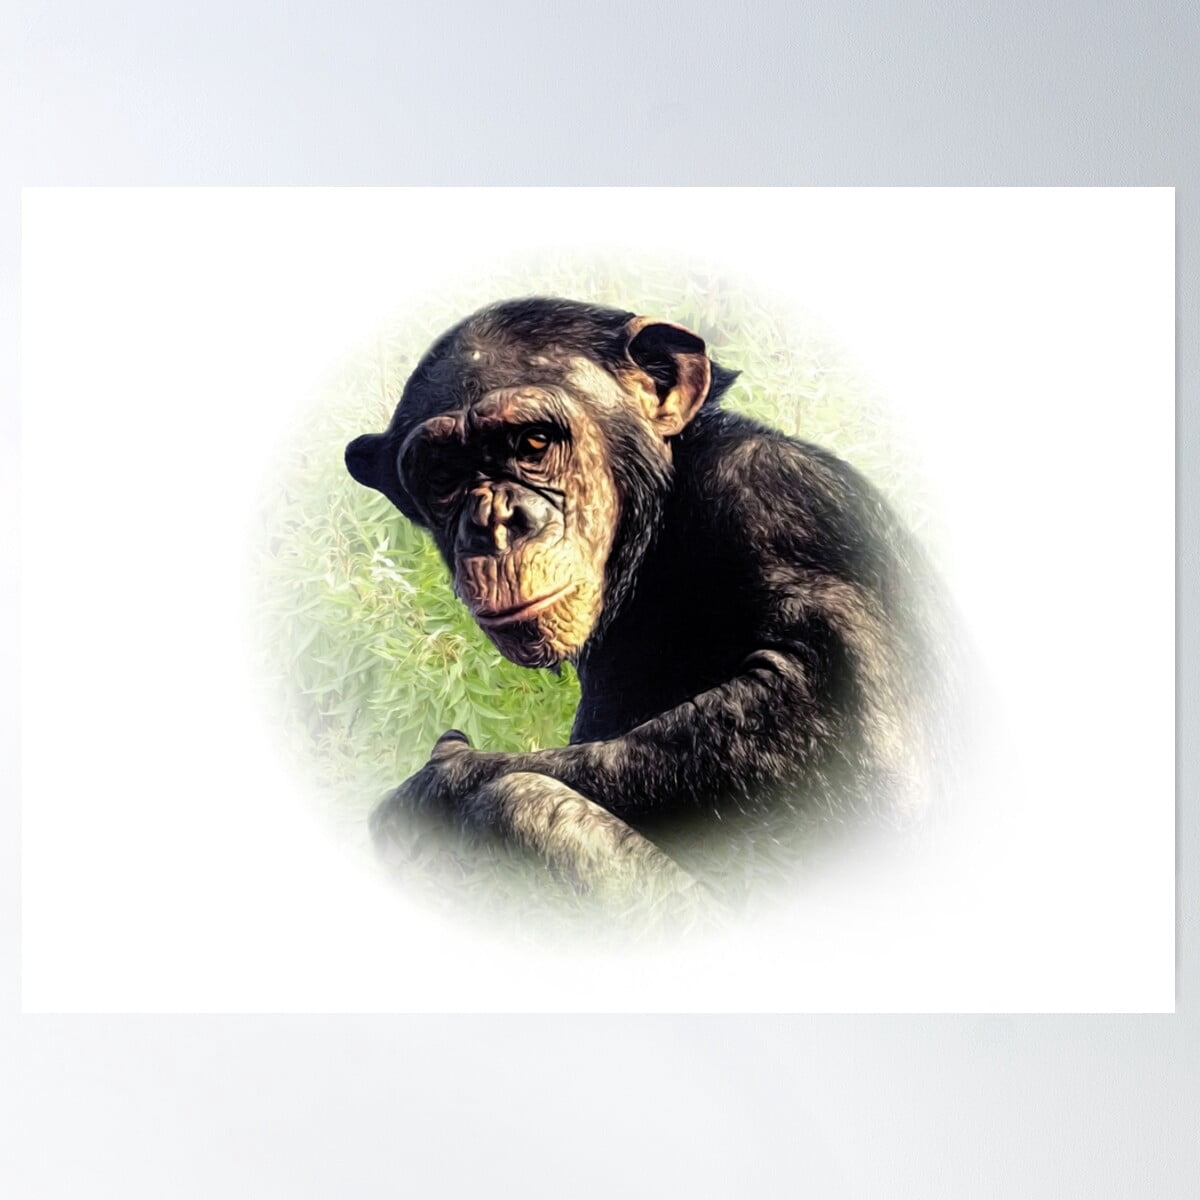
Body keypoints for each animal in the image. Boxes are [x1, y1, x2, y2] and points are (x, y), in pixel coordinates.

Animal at [345, 297, 948, 904]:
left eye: (532, 443)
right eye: (443, 472)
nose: (493, 523)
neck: (658, 520)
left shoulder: (784, 503)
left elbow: (857, 741)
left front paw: (439, 782)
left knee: (523, 808)